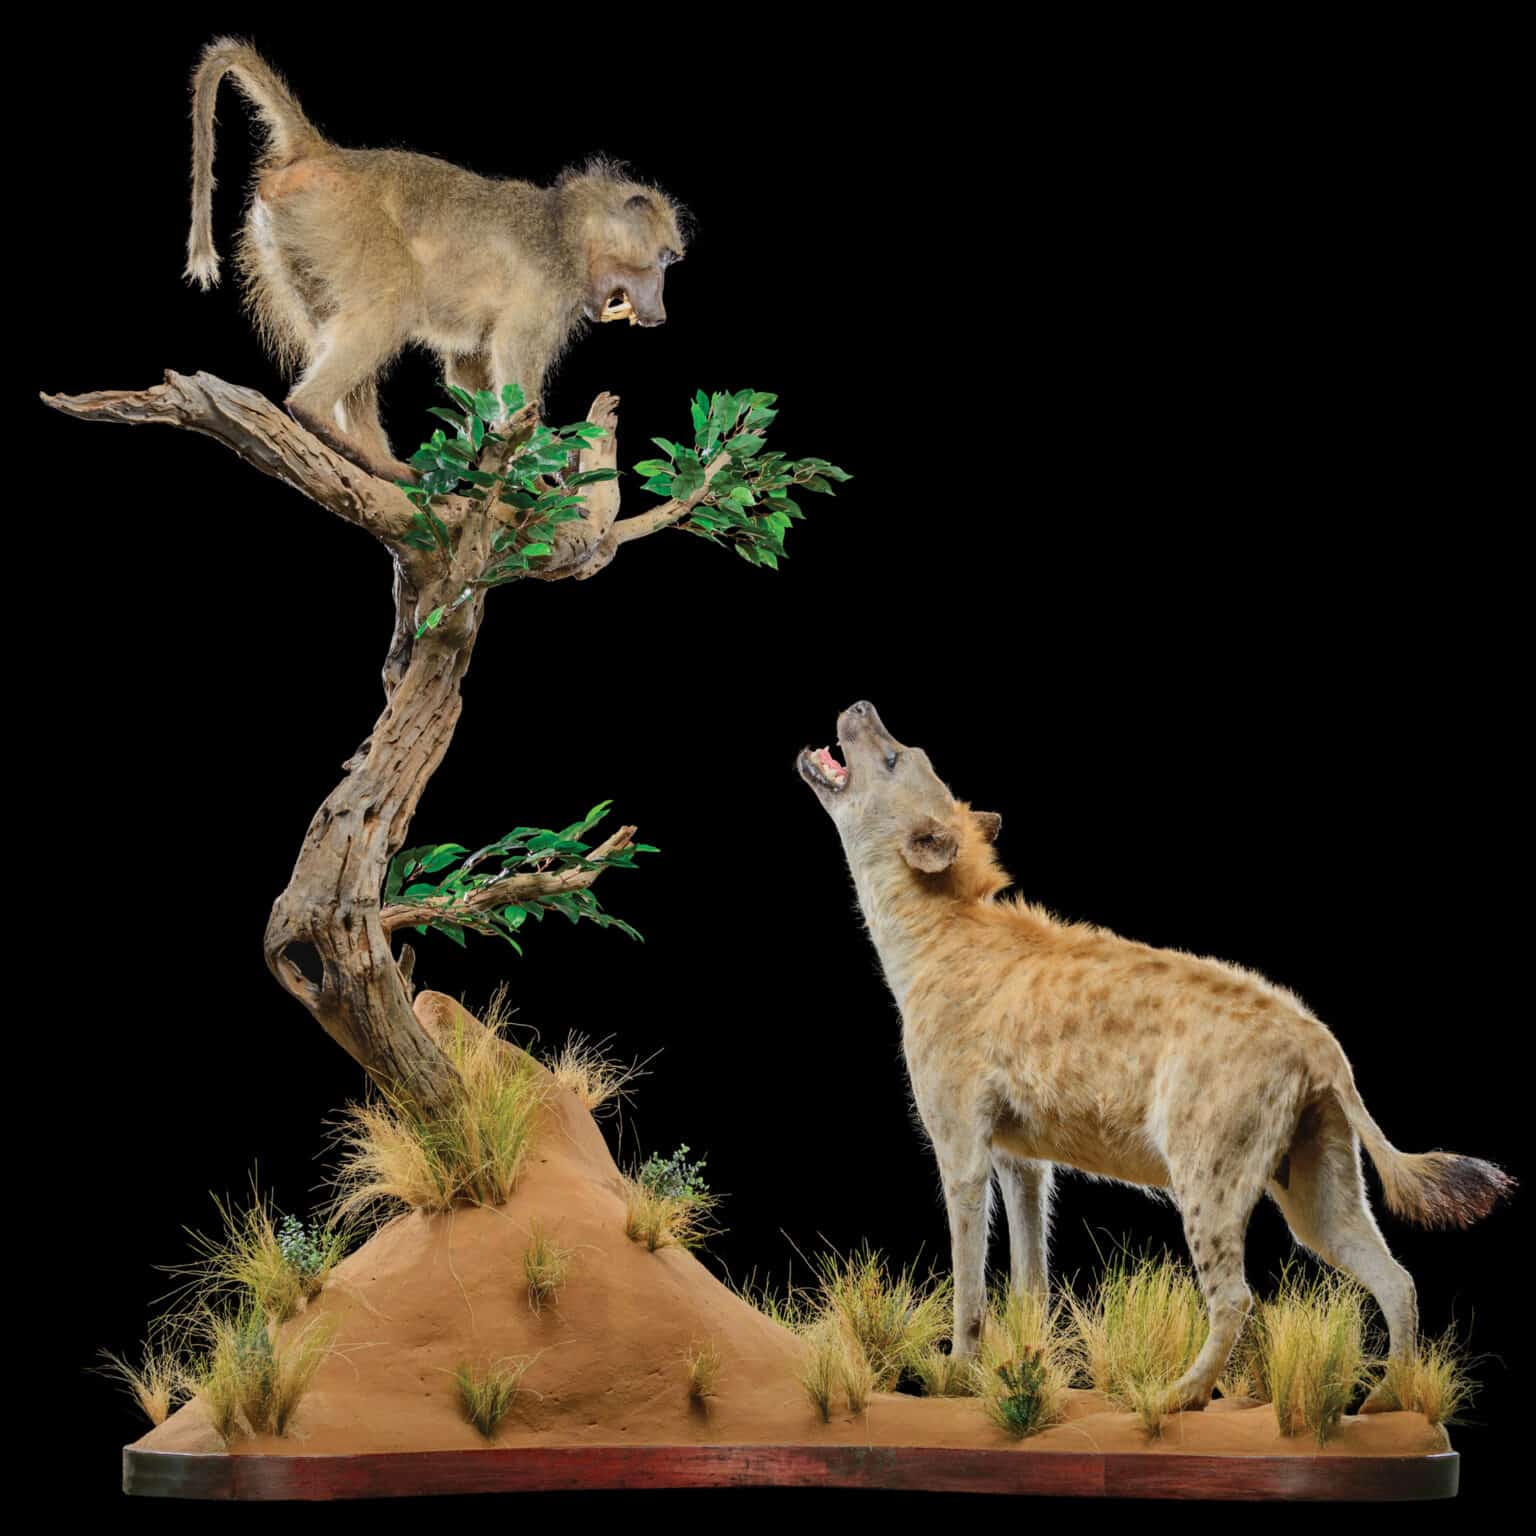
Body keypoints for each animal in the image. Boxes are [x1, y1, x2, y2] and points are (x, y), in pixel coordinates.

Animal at [184, 38, 687, 480]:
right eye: (663, 260)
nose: (660, 314)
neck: (568, 228)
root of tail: (326, 156)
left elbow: (469, 371)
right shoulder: (551, 290)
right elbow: (513, 356)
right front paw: (545, 469)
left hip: (299, 244)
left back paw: (373, 458)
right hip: (344, 226)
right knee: (390, 307)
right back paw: (320, 418)